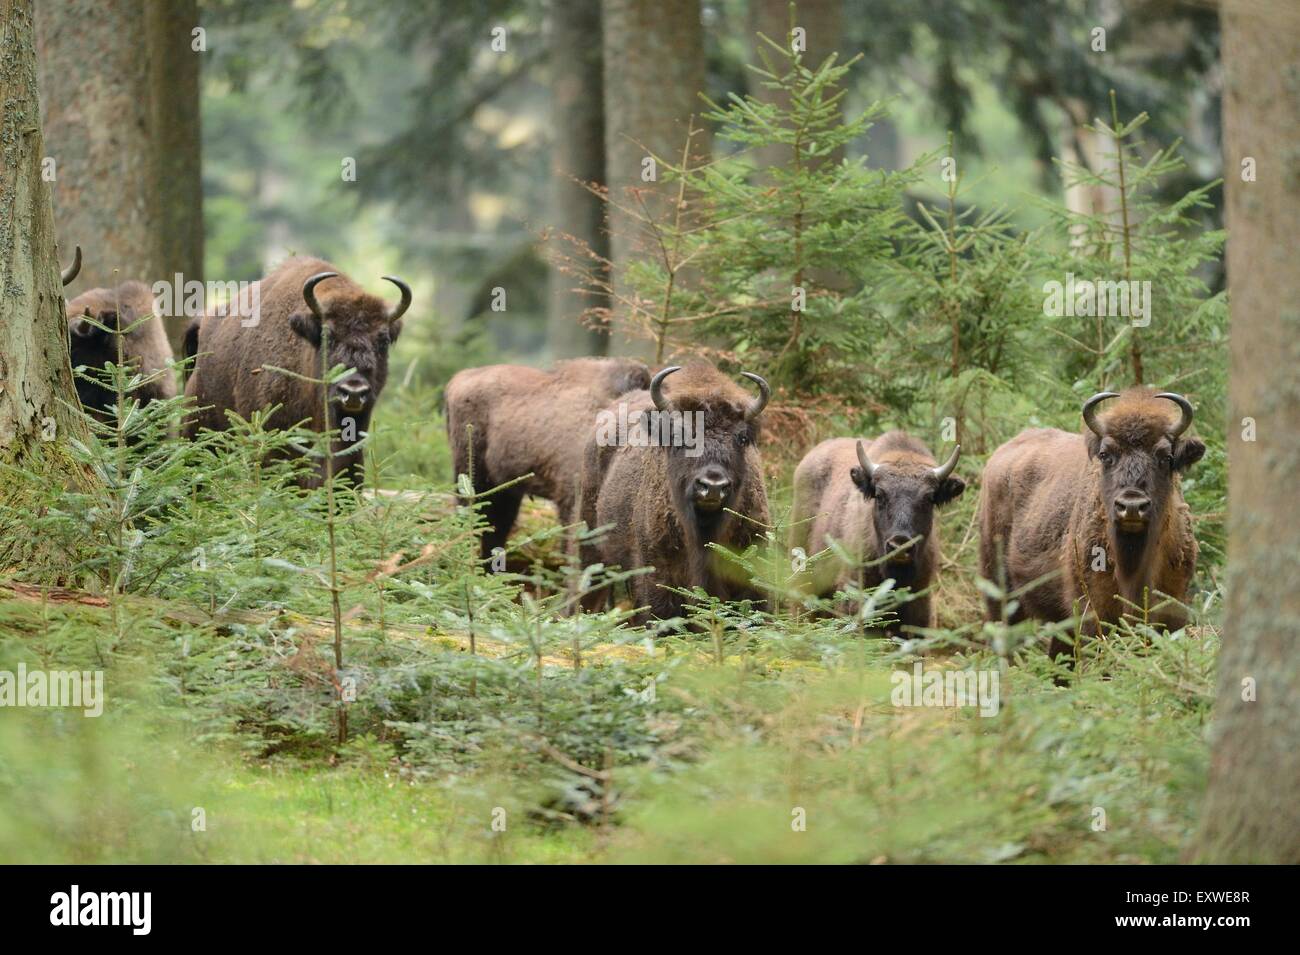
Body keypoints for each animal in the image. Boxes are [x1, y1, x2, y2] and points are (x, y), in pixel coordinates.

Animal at [978, 389, 1205, 656]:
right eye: (1106, 455)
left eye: (1166, 457)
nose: (1132, 506)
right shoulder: (1093, 610)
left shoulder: (1174, 606)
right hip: (1000, 589)